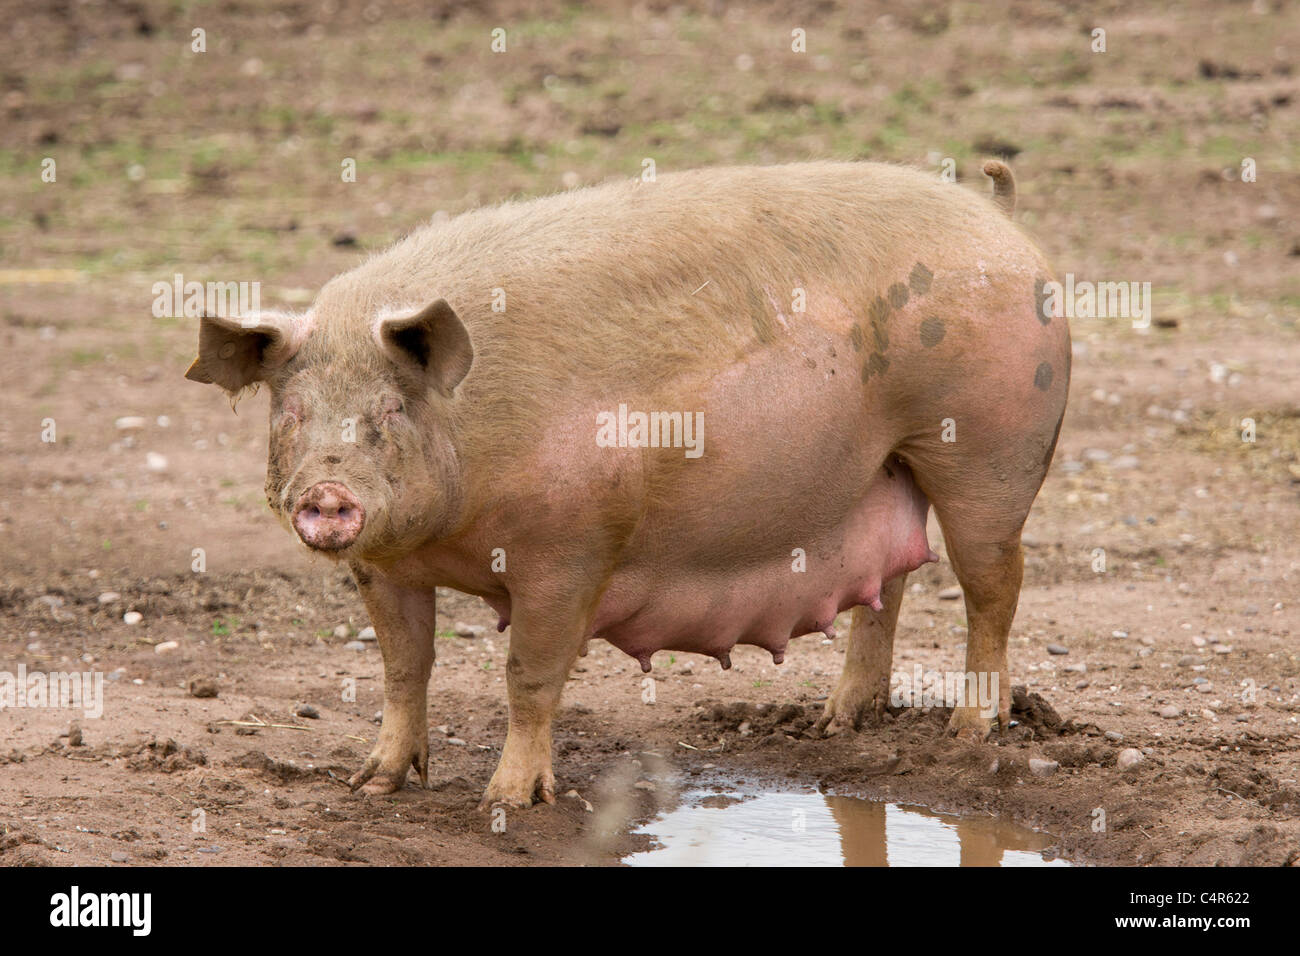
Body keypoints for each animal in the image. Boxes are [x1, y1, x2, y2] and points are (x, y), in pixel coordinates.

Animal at [185, 159, 1070, 808]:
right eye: (292, 411)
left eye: (389, 411)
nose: (326, 496)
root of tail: (996, 214)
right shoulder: (382, 567)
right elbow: (405, 667)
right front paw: (371, 784)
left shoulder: (570, 550)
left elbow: (529, 676)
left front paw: (507, 802)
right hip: (886, 466)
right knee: (892, 581)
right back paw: (836, 724)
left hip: (990, 449)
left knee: (993, 582)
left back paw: (972, 732)